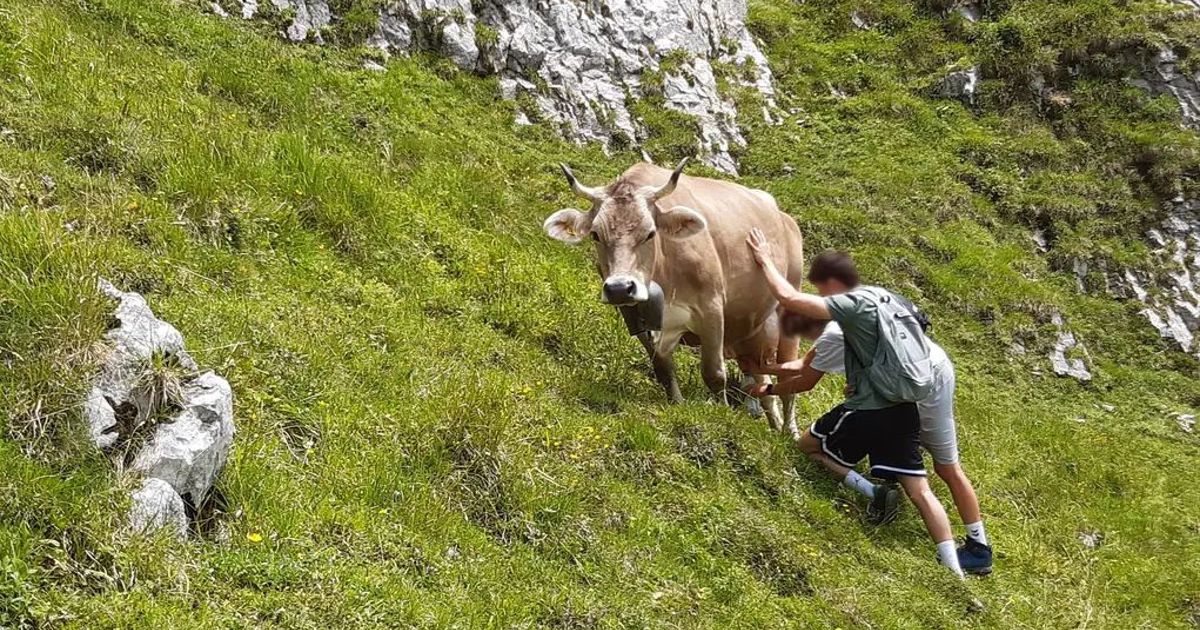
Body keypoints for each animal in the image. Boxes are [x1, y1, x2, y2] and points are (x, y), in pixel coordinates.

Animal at [543, 158, 805, 435]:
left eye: (650, 233)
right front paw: (677, 404)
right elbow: (662, 366)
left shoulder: (711, 308)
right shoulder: (638, 317)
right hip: (749, 333)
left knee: (788, 383)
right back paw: (774, 426)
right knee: (762, 383)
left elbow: (714, 373)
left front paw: (723, 416)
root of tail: (784, 217)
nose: (619, 288)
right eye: (595, 234)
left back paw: (789, 433)